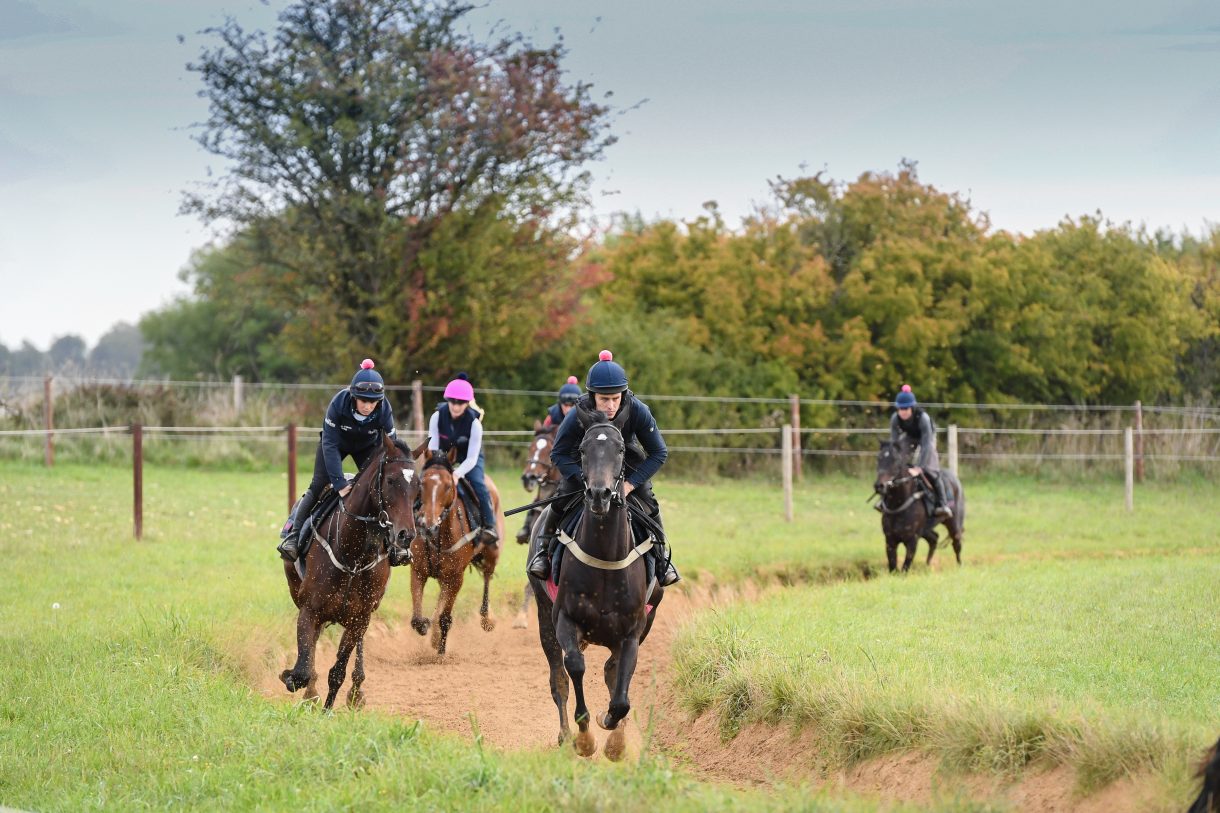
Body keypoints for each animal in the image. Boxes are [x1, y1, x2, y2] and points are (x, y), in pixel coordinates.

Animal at [280, 432, 420, 709]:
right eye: (390, 480)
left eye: (418, 486)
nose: (405, 535)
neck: (354, 555)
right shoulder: (309, 609)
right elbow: (303, 669)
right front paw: (297, 681)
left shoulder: (360, 618)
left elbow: (337, 672)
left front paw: (328, 709)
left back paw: (357, 690)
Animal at [408, 447, 504, 655]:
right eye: (422, 484)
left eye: (447, 486)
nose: (427, 524)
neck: (438, 537)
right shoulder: (418, 571)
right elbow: (417, 620)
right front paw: (428, 629)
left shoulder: (456, 577)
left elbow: (445, 618)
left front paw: (441, 652)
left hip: (492, 552)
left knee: (487, 577)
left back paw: (487, 619)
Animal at [527, 414, 663, 760]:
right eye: (583, 450)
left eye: (620, 449)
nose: (600, 494)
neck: (606, 559)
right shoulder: (565, 619)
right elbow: (573, 667)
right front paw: (585, 737)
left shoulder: (633, 630)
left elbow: (621, 691)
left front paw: (614, 735)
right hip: (544, 614)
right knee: (558, 678)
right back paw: (565, 735)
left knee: (612, 672)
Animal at [873, 435, 965, 573]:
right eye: (879, 458)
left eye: (896, 460)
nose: (879, 486)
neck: (899, 504)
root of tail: (956, 480)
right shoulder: (890, 541)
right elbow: (893, 567)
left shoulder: (912, 541)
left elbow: (905, 568)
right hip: (926, 529)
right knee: (934, 538)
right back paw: (927, 565)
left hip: (953, 524)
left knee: (956, 544)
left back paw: (959, 567)